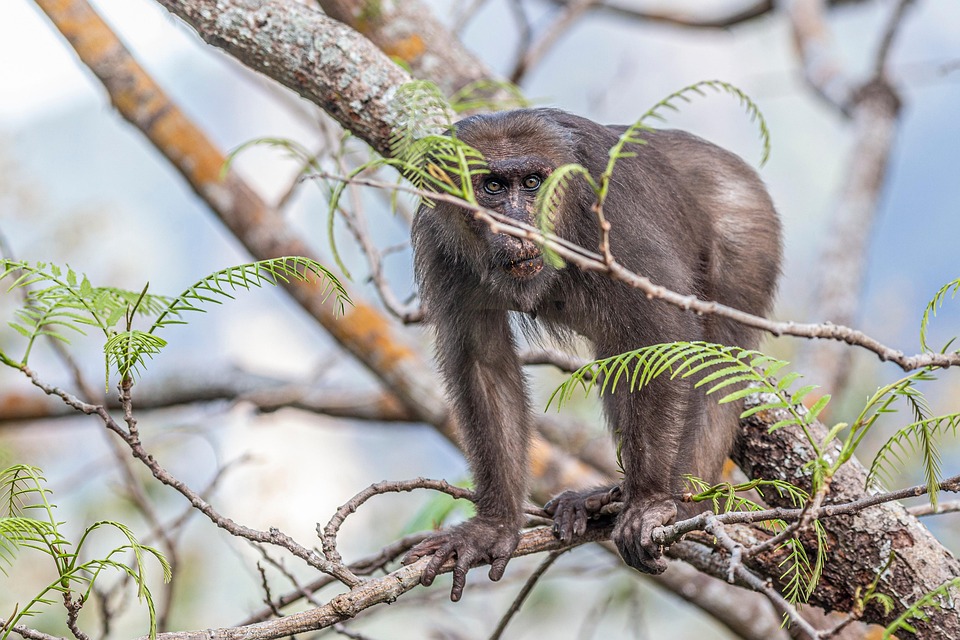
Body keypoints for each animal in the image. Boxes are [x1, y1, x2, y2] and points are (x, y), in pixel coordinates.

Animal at [402, 108, 782, 600]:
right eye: (493, 187)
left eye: (532, 183)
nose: (517, 224)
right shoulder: (440, 243)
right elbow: (483, 363)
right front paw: (494, 525)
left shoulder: (607, 216)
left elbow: (662, 336)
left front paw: (650, 502)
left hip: (746, 226)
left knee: (714, 360)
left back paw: (682, 503)